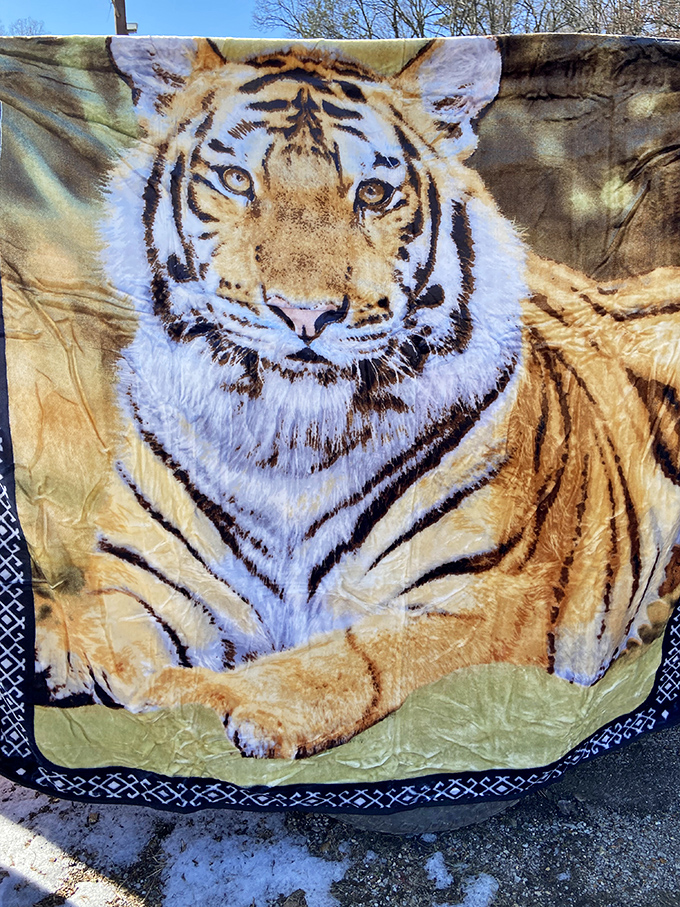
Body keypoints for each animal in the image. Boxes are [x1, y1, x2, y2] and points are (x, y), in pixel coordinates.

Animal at [32, 35, 680, 760]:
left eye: (372, 193)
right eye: (236, 181)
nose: (304, 314)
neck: (285, 450)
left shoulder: (492, 596)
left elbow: (344, 659)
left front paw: (204, 698)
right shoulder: (146, 581)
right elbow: (118, 634)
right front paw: (74, 653)